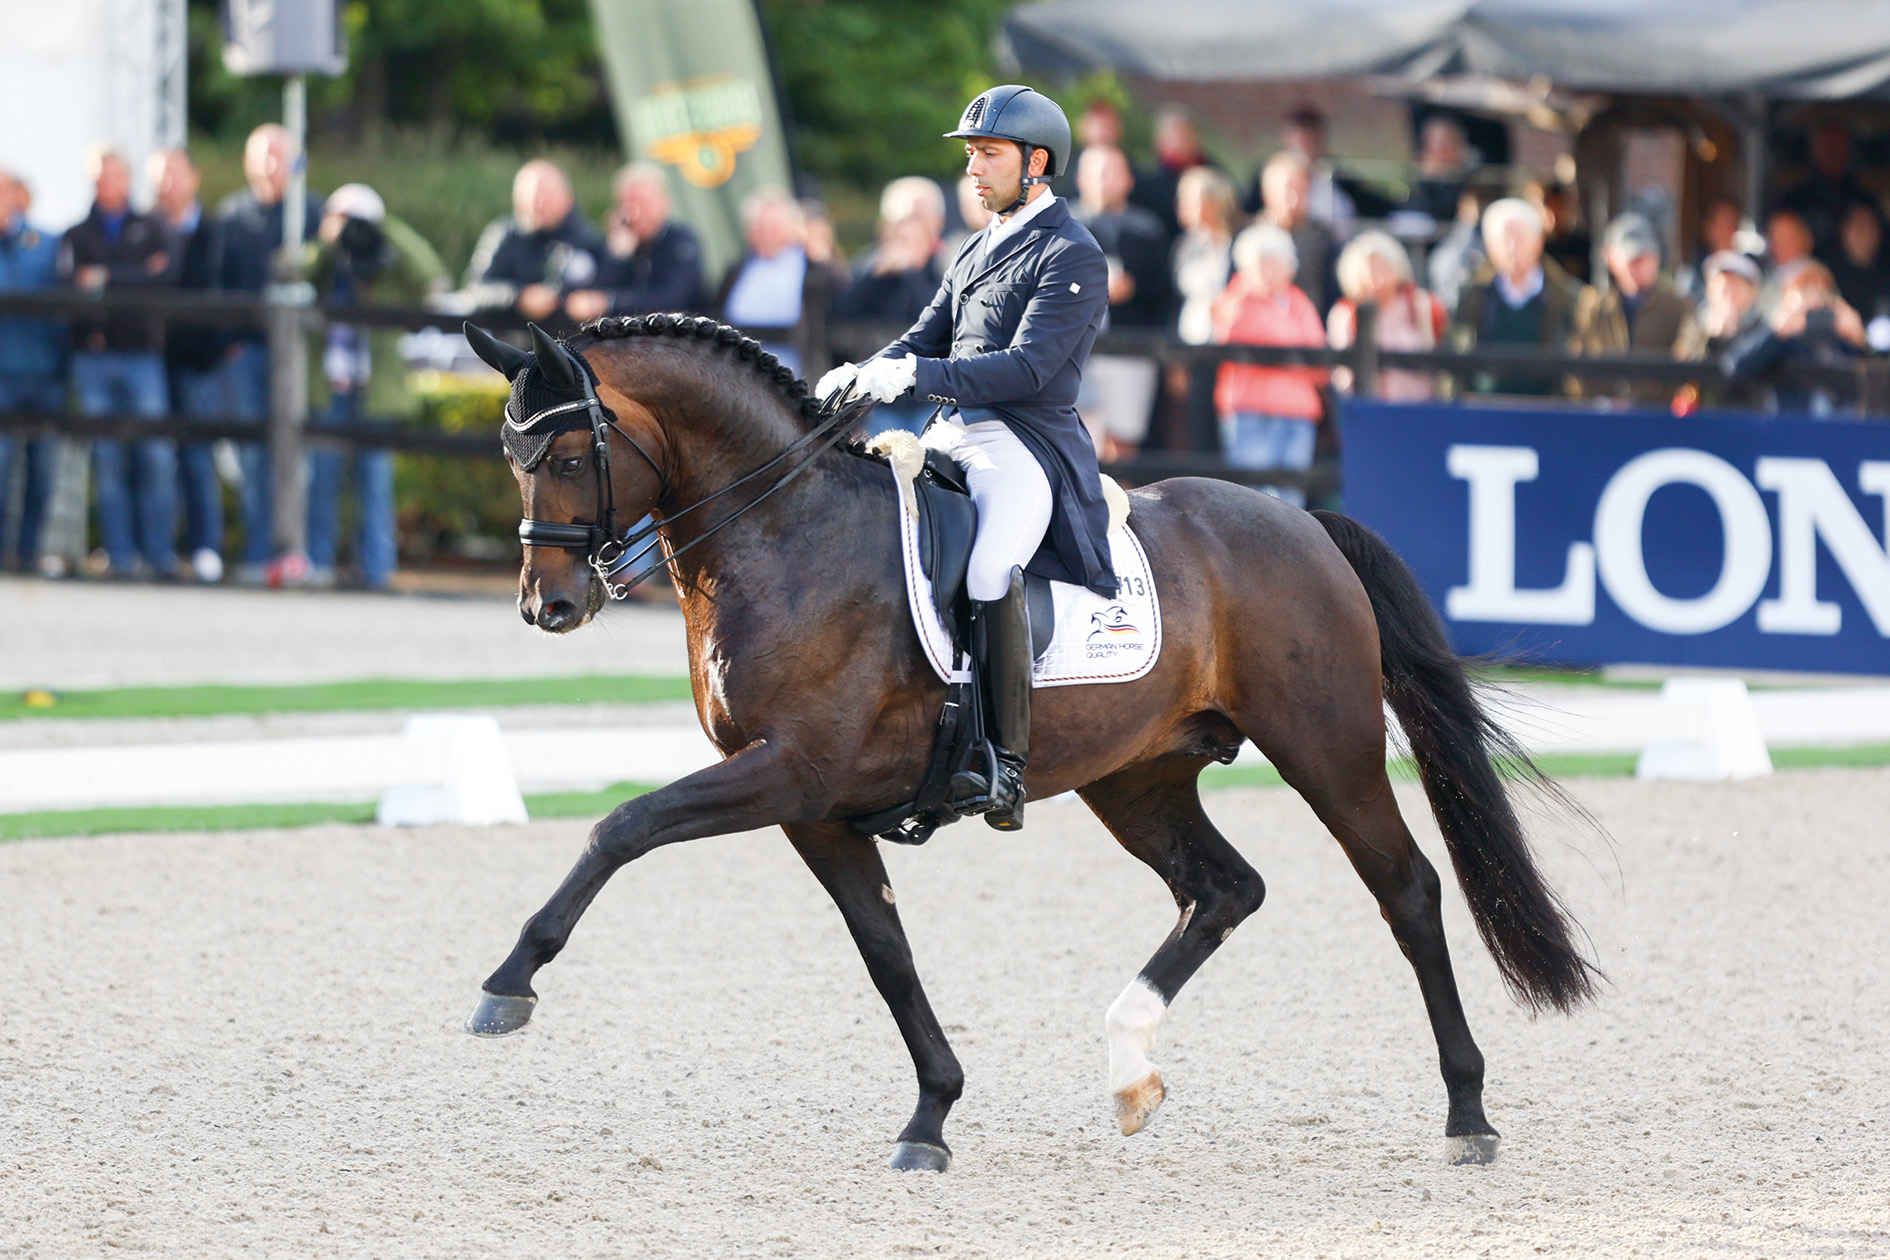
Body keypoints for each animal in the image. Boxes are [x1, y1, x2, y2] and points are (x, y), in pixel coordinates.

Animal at [465, 312, 1598, 1173]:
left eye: (570, 454)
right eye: (511, 458)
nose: (547, 608)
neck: (783, 533)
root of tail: (1305, 522)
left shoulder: (788, 772)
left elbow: (621, 826)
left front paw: (509, 982)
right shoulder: (817, 809)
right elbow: (886, 954)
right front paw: (932, 1115)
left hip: (1327, 747)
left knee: (1406, 888)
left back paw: (1467, 1115)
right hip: (1138, 778)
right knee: (1224, 888)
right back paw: (1131, 1068)